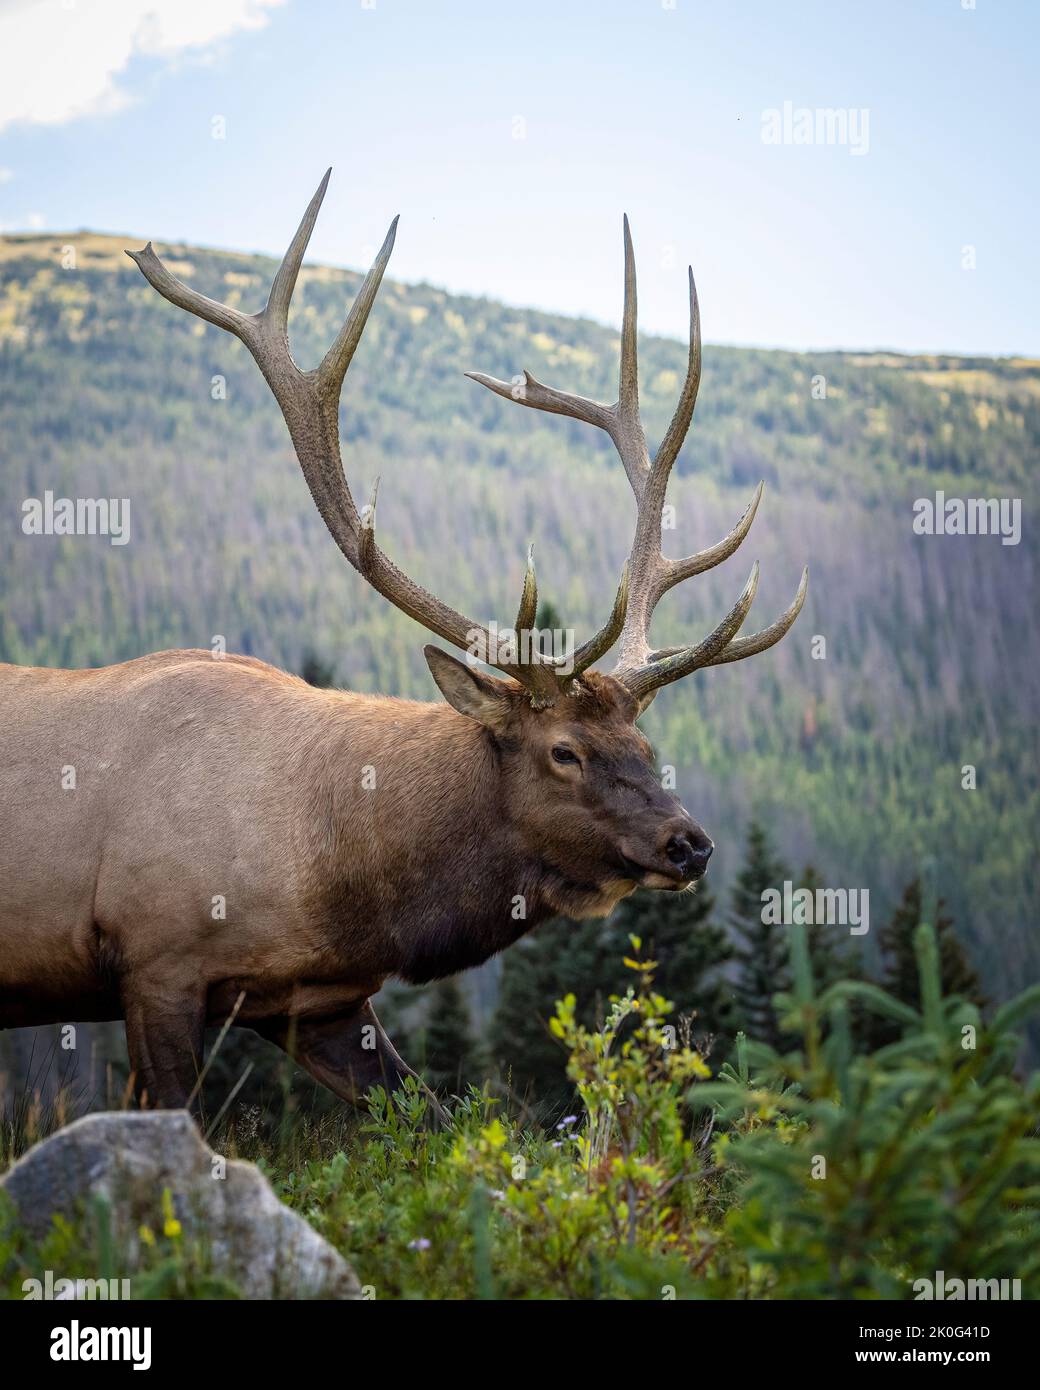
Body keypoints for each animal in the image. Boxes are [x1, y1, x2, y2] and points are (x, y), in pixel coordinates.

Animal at [0, 171, 806, 1118]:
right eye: (564, 751)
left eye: (646, 747)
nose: (691, 844)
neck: (337, 878)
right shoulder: (156, 960)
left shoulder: (321, 999)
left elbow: (424, 1114)